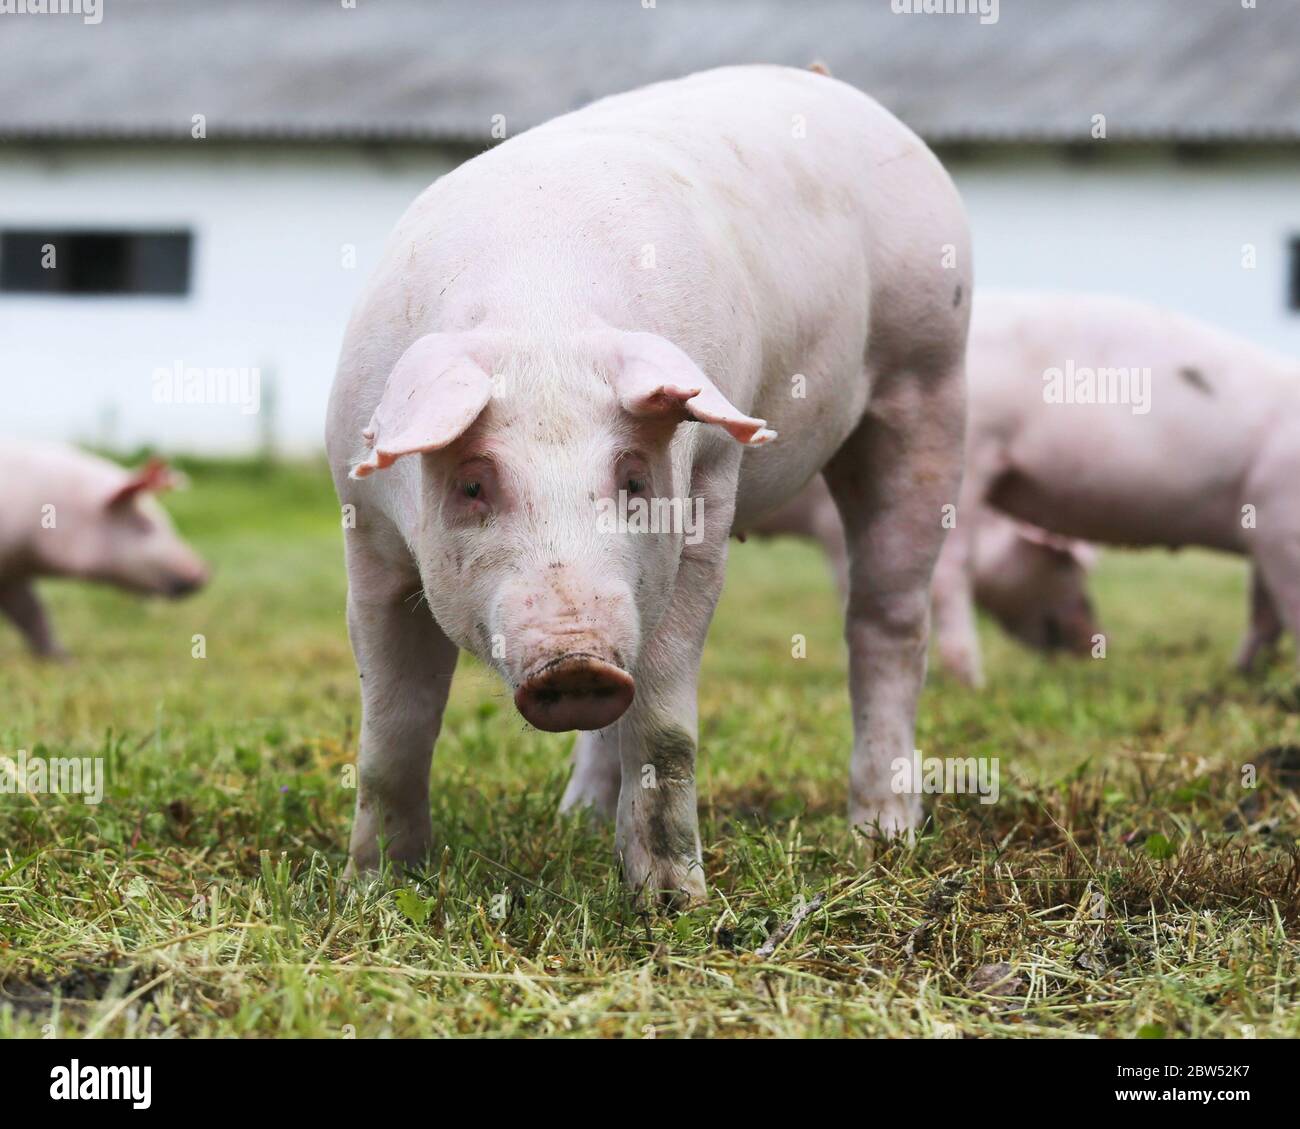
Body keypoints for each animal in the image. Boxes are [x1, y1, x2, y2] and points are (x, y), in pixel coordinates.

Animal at [0, 442, 209, 658]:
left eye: (167, 520)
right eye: (145, 526)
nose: (204, 574)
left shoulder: (12, 574)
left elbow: (33, 612)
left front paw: (64, 659)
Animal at [327, 65, 971, 903]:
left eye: (633, 476)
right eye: (472, 485)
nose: (578, 663)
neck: (545, 314)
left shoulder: (706, 489)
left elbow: (664, 718)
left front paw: (672, 902)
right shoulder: (367, 527)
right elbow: (393, 725)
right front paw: (376, 889)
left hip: (928, 372)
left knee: (887, 618)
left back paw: (882, 834)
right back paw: (576, 820)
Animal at [933, 291, 1300, 685]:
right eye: (1063, 564)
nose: (1097, 639)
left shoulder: (1263, 529)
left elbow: (1265, 613)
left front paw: (1242, 677)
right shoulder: (1280, 521)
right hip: (971, 452)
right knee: (950, 572)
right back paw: (971, 683)